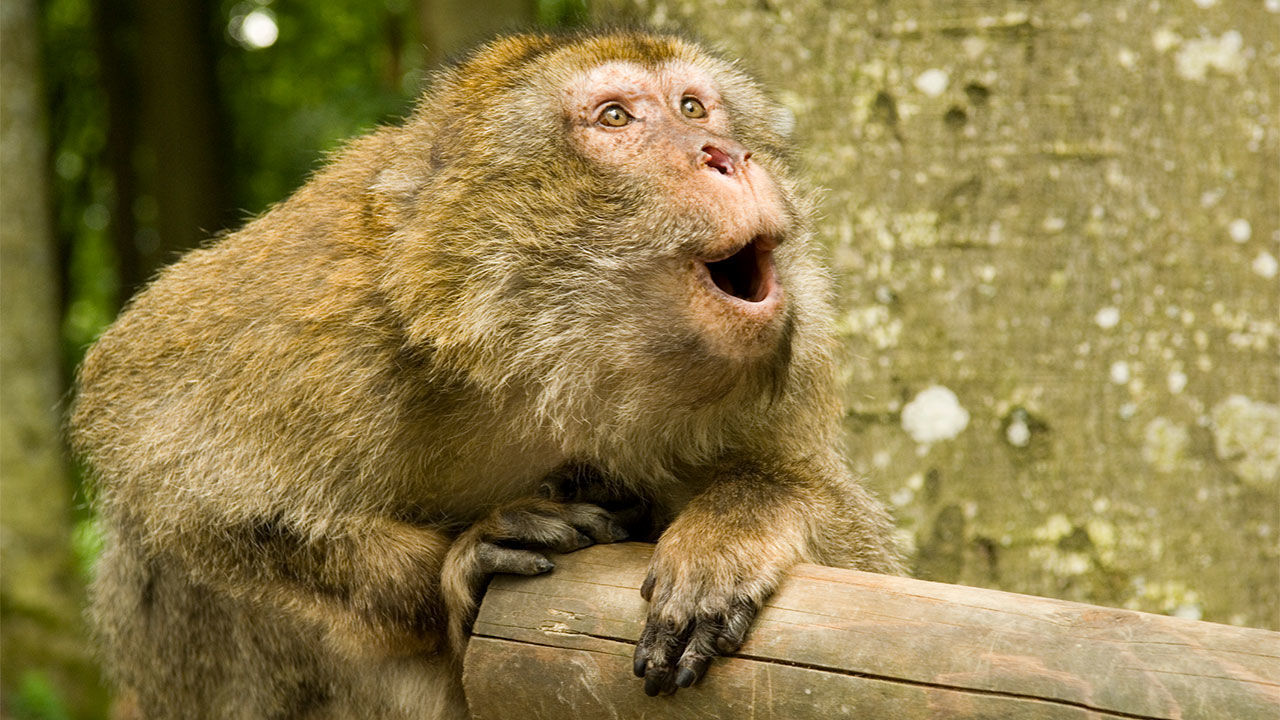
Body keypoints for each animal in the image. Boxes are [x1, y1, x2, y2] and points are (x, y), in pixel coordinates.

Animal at [70, 29, 903, 720]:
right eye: (615, 118)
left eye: (695, 108)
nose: (726, 154)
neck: (542, 360)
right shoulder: (325, 308)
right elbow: (158, 455)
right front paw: (459, 565)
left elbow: (860, 604)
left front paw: (739, 522)